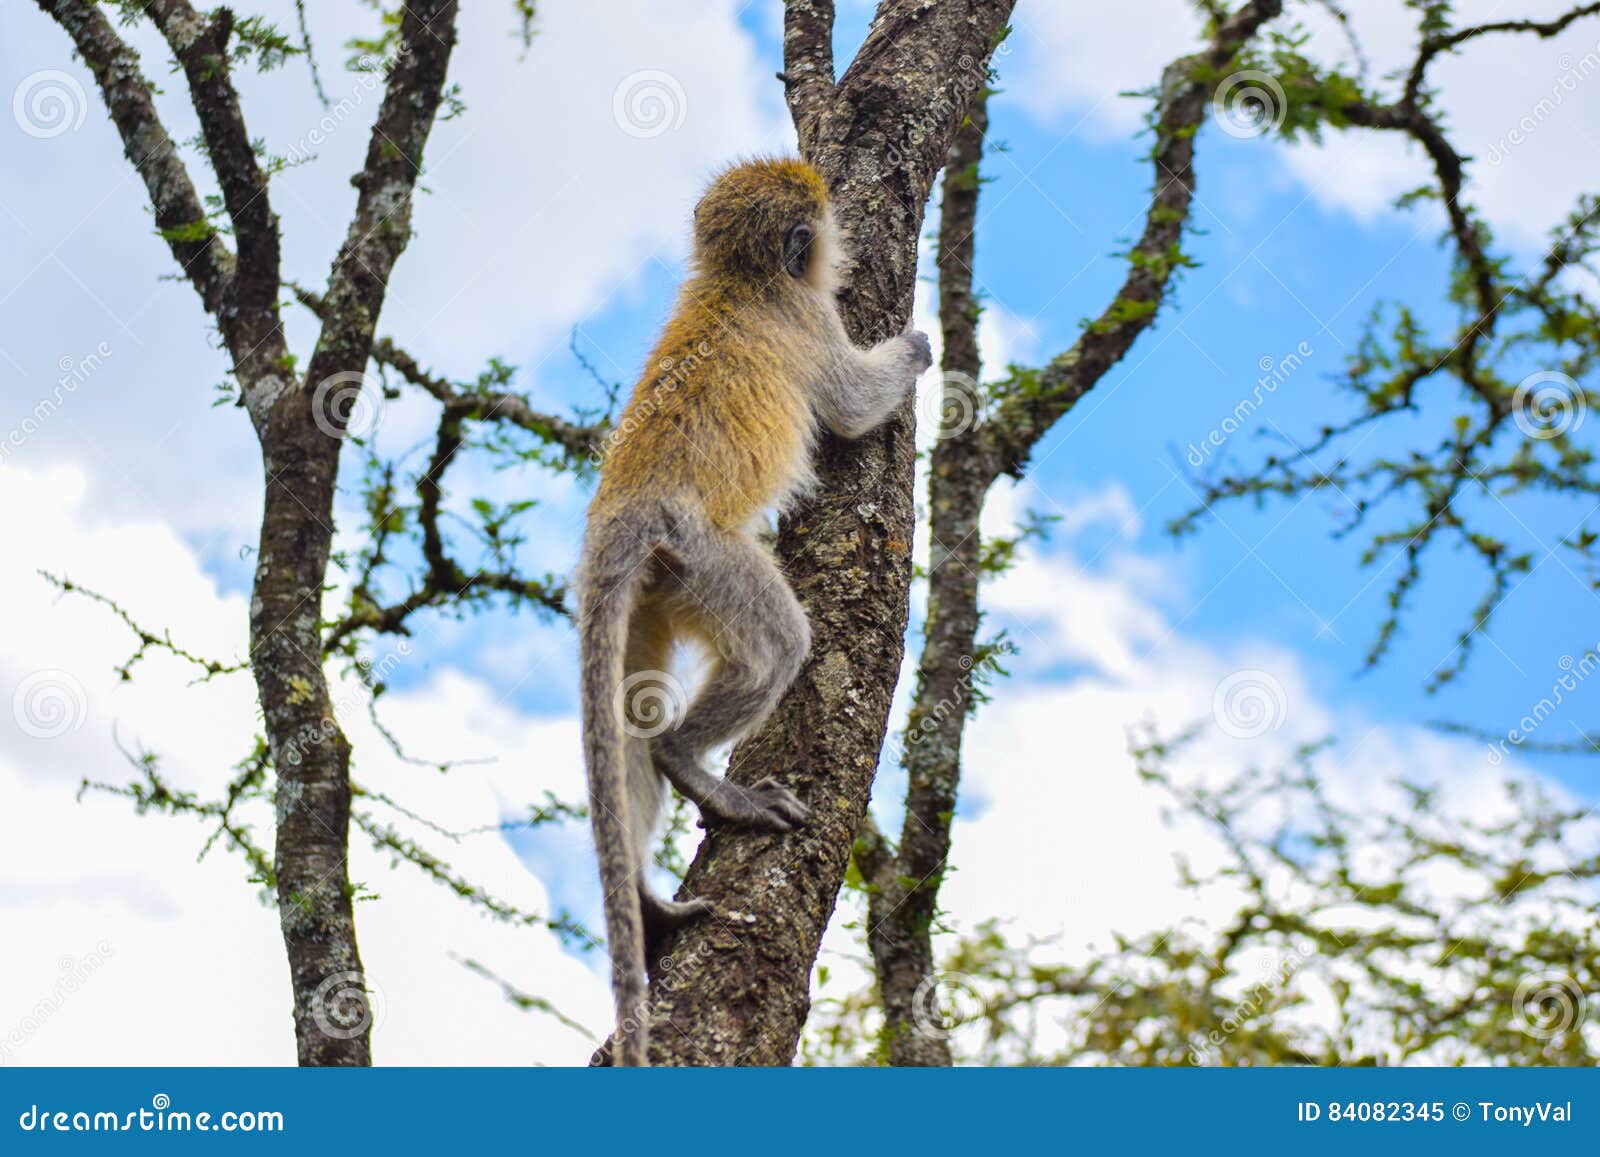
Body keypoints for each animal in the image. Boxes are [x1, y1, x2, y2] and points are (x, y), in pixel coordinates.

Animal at [576, 157, 932, 1066]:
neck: (739, 279)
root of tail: (624, 514)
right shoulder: (809, 319)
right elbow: (853, 405)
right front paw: (915, 348)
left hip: (649, 597)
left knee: (623, 721)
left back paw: (644, 896)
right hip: (707, 559)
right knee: (775, 646)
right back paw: (691, 764)